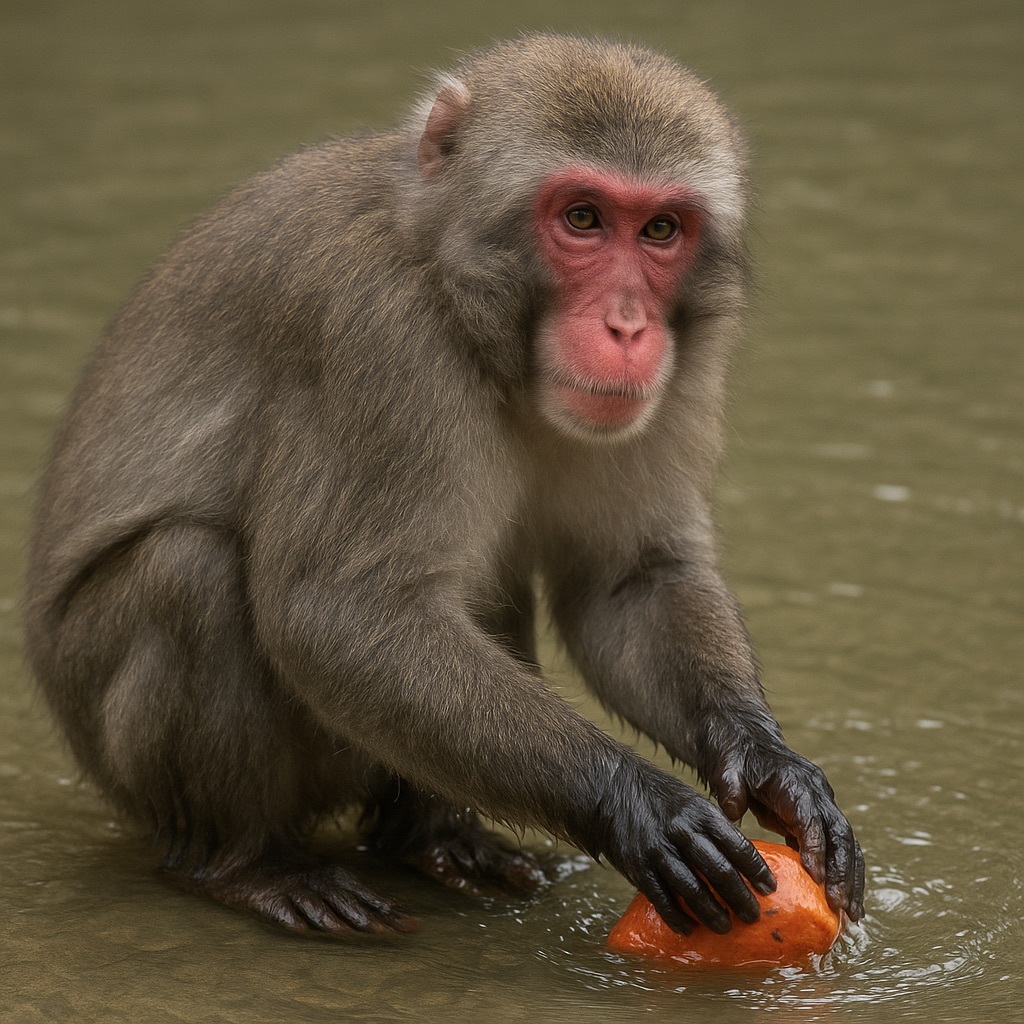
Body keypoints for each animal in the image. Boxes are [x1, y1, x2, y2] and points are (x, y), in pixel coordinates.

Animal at [24, 34, 865, 938]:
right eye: (582, 218)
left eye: (661, 229)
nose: (629, 325)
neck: (459, 291)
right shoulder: (373, 333)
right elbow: (341, 612)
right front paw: (639, 804)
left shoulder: (686, 362)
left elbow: (628, 579)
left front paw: (771, 764)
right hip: (113, 746)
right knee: (191, 569)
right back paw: (246, 864)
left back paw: (432, 839)